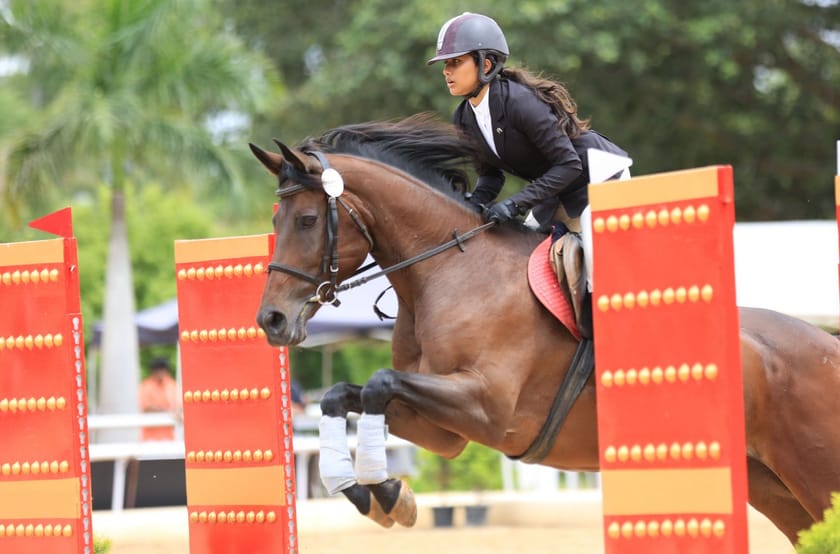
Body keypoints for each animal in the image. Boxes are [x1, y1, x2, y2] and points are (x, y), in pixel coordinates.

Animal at [249, 114, 840, 544]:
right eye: (275, 221)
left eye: (307, 221)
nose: (271, 320)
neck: (449, 271)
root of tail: (827, 346)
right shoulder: (441, 429)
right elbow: (341, 396)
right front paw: (377, 494)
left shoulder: (484, 407)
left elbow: (377, 383)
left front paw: (390, 494)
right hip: (775, 488)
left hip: (814, 474)